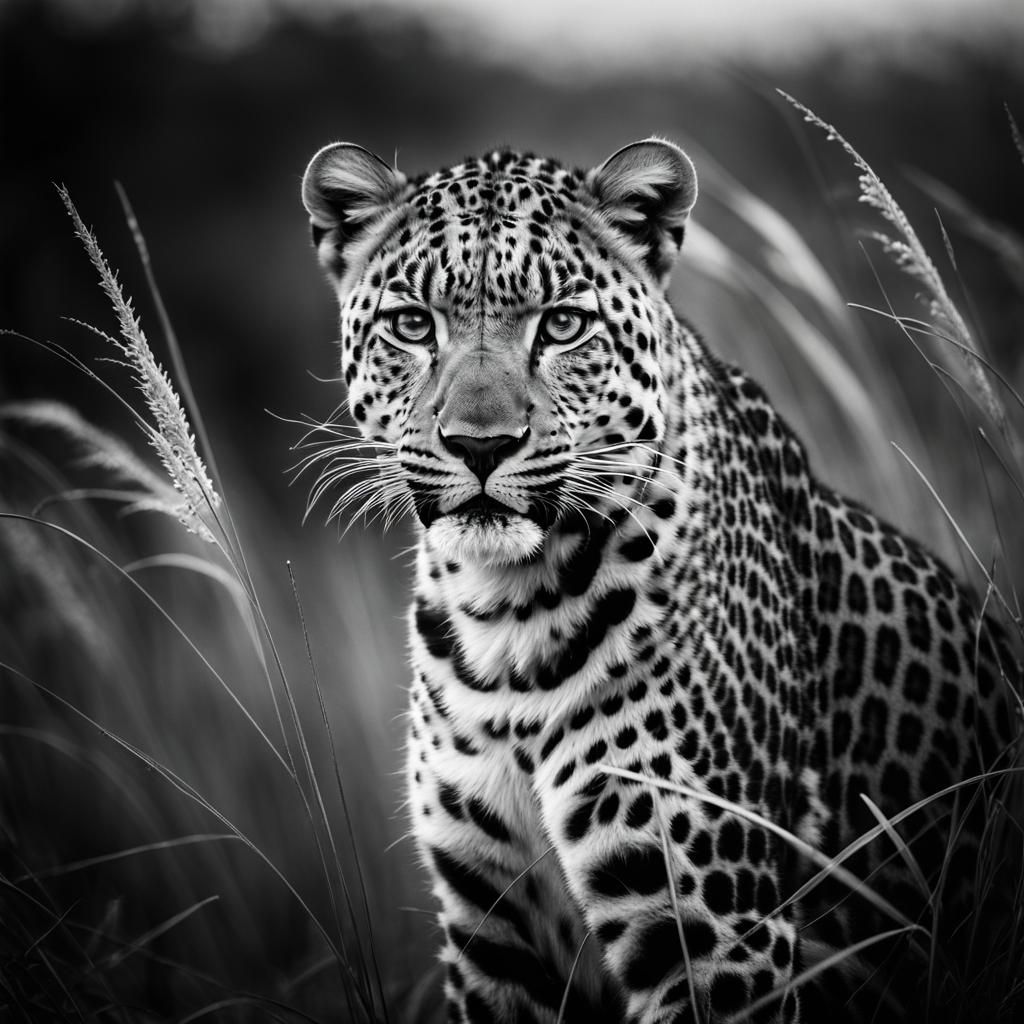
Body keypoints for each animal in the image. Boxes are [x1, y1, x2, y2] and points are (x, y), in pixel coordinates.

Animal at [300, 137, 1020, 1023]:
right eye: (411, 325)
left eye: (562, 324)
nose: (480, 444)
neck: (503, 617)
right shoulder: (492, 928)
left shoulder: (716, 939)